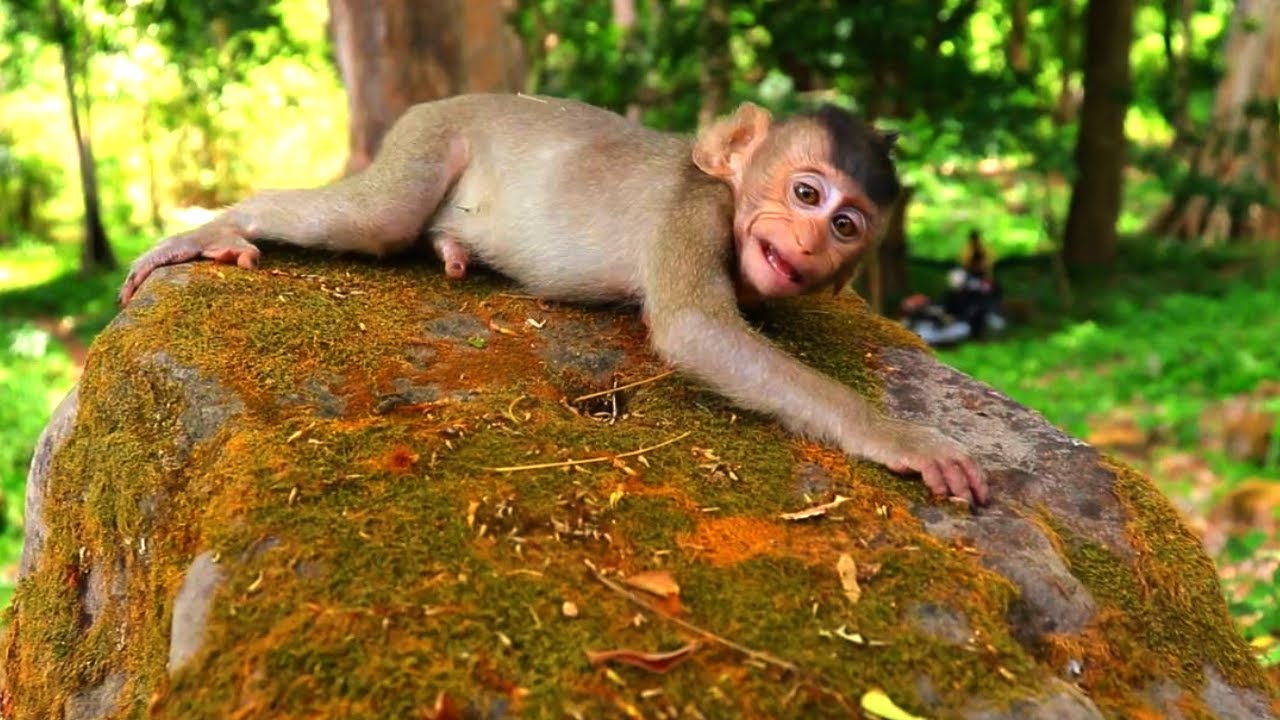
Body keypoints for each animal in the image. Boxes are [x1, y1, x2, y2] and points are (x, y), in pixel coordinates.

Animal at [118, 94, 989, 506]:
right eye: (806, 193)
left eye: (846, 225)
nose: (808, 245)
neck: (730, 191)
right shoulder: (693, 214)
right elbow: (694, 326)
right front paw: (897, 437)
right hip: (427, 142)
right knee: (372, 216)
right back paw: (216, 230)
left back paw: (452, 248)